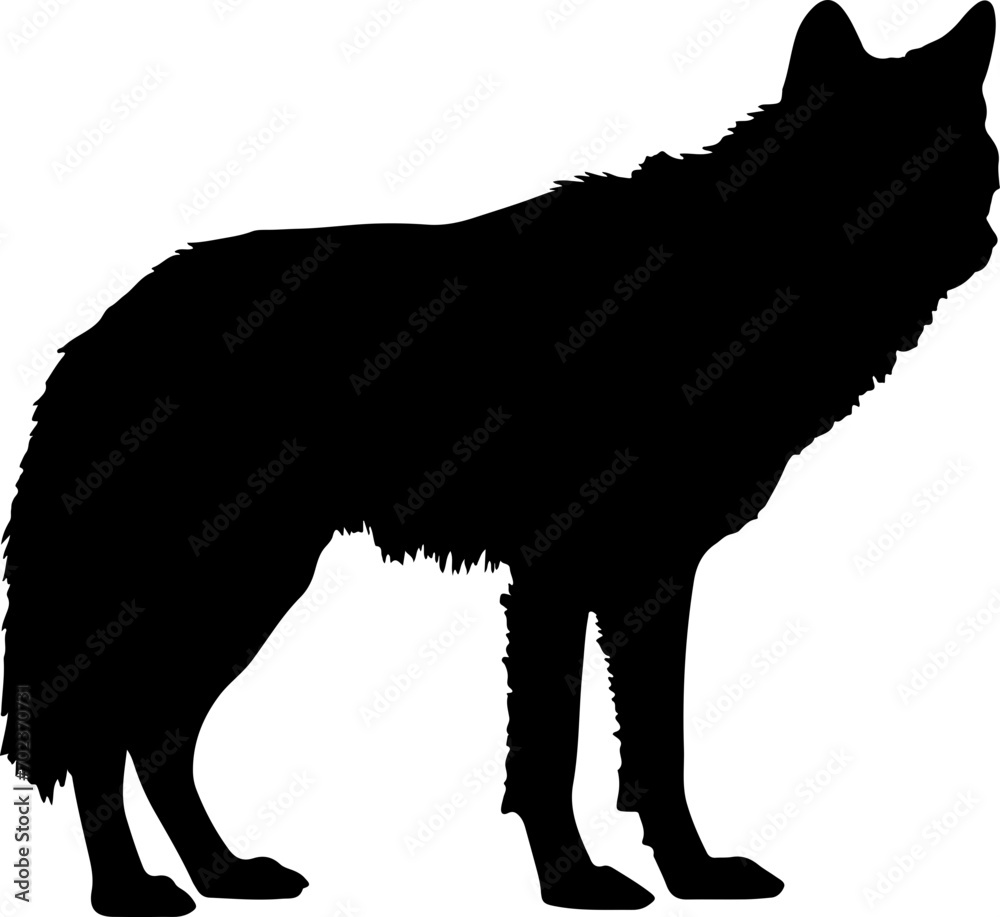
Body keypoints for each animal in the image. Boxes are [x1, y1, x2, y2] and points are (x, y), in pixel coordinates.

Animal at [2, 1, 996, 913]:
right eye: (888, 158)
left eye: (971, 165)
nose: (979, 243)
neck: (719, 282)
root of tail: (98, 334)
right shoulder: (556, 572)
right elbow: (551, 750)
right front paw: (576, 881)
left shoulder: (652, 575)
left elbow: (656, 748)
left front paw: (691, 874)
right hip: (216, 586)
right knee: (107, 728)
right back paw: (131, 891)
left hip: (247, 588)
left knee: (154, 735)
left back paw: (222, 874)